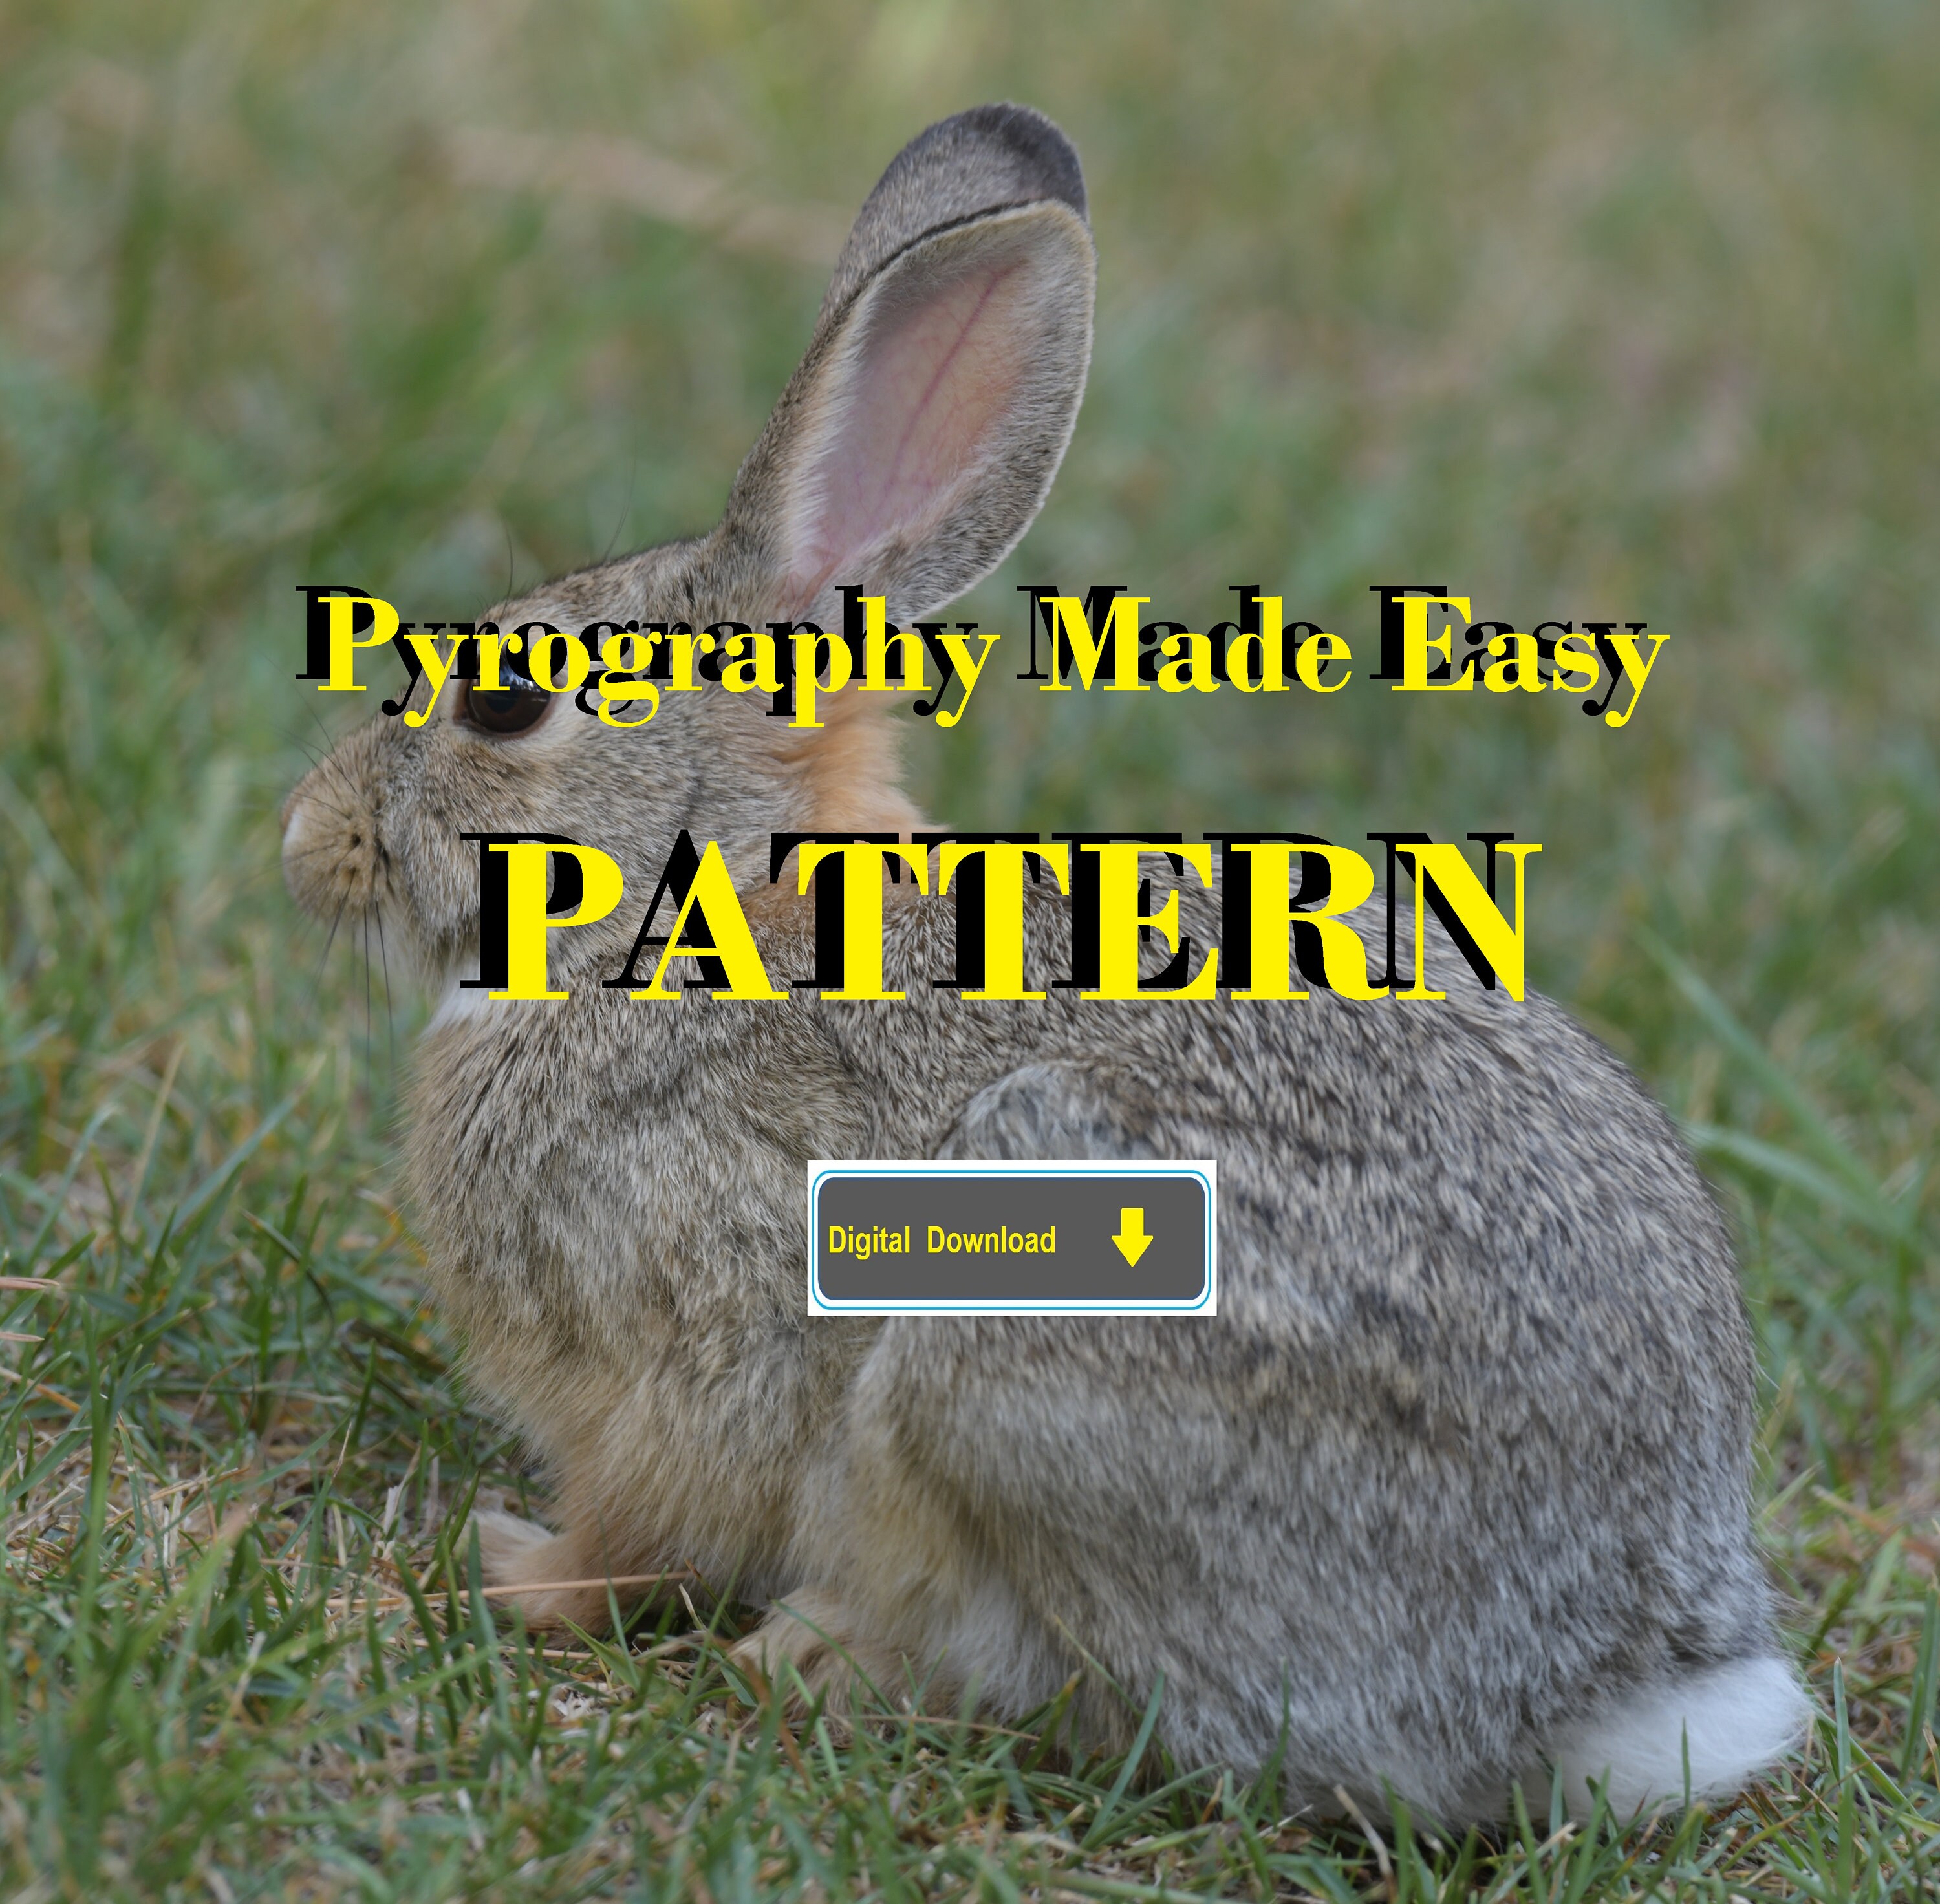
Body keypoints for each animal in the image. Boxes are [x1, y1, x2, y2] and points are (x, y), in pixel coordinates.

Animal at [281, 102, 1810, 1825]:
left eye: (502, 703)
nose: (307, 837)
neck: (705, 896)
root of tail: (1596, 1678)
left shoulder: (692, 1323)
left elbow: (645, 1520)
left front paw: (512, 1567)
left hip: (1019, 1341)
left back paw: (814, 1658)